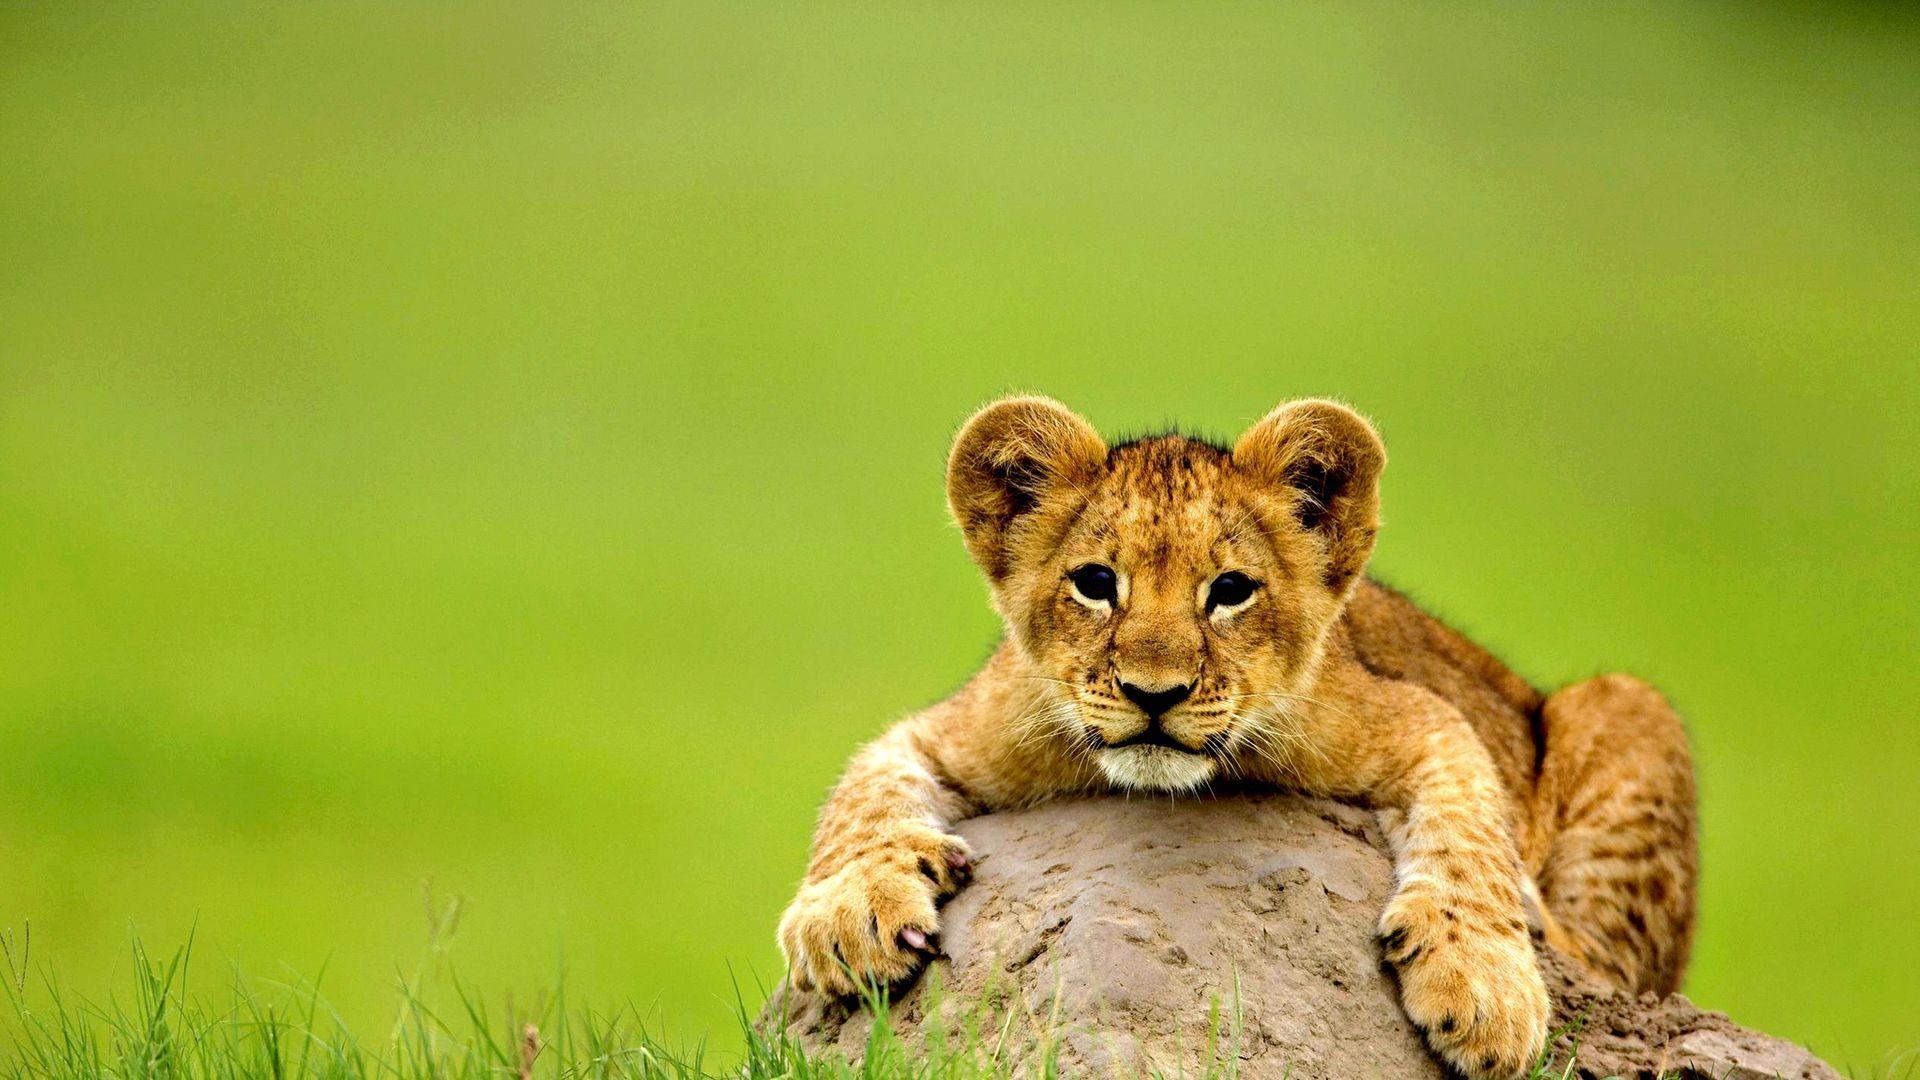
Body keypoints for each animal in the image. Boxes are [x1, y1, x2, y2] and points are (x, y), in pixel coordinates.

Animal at [776, 397, 1698, 1079]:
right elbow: (863, 792)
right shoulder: (961, 726)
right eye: (1095, 583)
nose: (1155, 693)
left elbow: (1473, 834)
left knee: (1608, 962)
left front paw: (1483, 984)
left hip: (1627, 705)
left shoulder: (1420, 714)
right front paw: (850, 915)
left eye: (1230, 591)